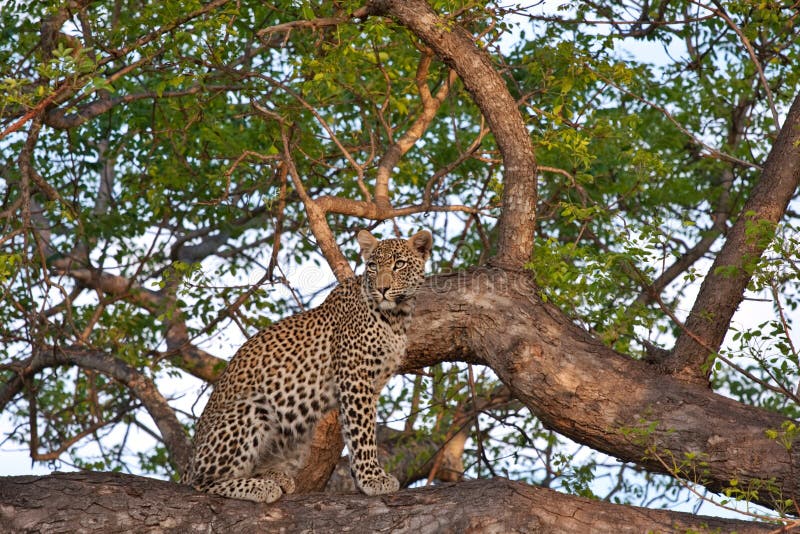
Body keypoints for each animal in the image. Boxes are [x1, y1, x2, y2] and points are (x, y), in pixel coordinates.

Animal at [181, 229, 433, 503]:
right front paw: (372, 479)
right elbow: (362, 433)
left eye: (399, 264)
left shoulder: (373, 383)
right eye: (373, 267)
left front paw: (364, 478)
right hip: (252, 407)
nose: (382, 289)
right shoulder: (355, 378)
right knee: (201, 482)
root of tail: (189, 461)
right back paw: (260, 487)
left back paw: (274, 477)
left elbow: (358, 430)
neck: (397, 317)